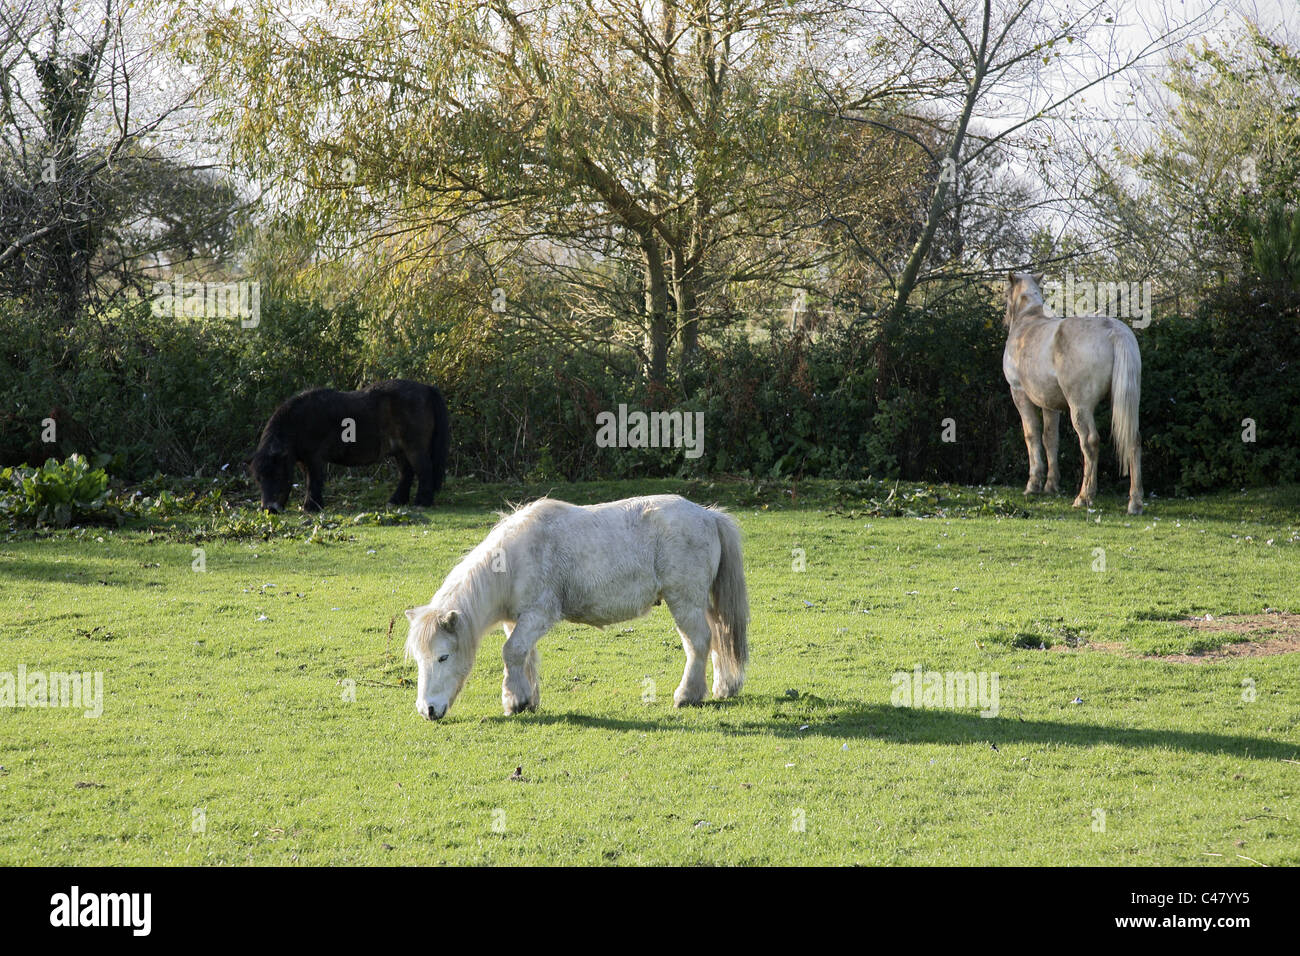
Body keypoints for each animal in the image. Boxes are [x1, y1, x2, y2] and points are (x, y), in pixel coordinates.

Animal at [248, 379, 450, 513]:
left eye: (277, 475)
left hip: (414, 448)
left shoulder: (314, 459)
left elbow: (313, 481)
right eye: (258, 479)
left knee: (424, 471)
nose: (269, 509)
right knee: (407, 473)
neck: (298, 421)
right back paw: (396, 500)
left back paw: (422, 502)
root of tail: (427, 388)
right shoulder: (302, 461)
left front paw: (312, 506)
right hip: (400, 450)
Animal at [404, 494, 749, 720]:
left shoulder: (538, 615)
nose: (427, 710)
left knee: (698, 643)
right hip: (701, 603)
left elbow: (511, 652)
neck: (514, 560)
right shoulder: (517, 621)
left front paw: (514, 702)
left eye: (443, 656)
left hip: (684, 601)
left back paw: (687, 695)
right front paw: (527, 699)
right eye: (419, 658)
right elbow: (524, 656)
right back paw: (723, 688)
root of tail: (708, 515)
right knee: (718, 637)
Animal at [1003, 272, 1143, 515]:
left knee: (1090, 441)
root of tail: (1114, 330)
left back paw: (1084, 496)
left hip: (1080, 406)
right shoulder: (1049, 403)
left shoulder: (1019, 394)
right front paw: (1051, 485)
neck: (1028, 319)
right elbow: (1050, 438)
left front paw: (1033, 485)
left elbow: (1032, 435)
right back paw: (1135, 502)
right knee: (1133, 440)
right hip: (1126, 404)